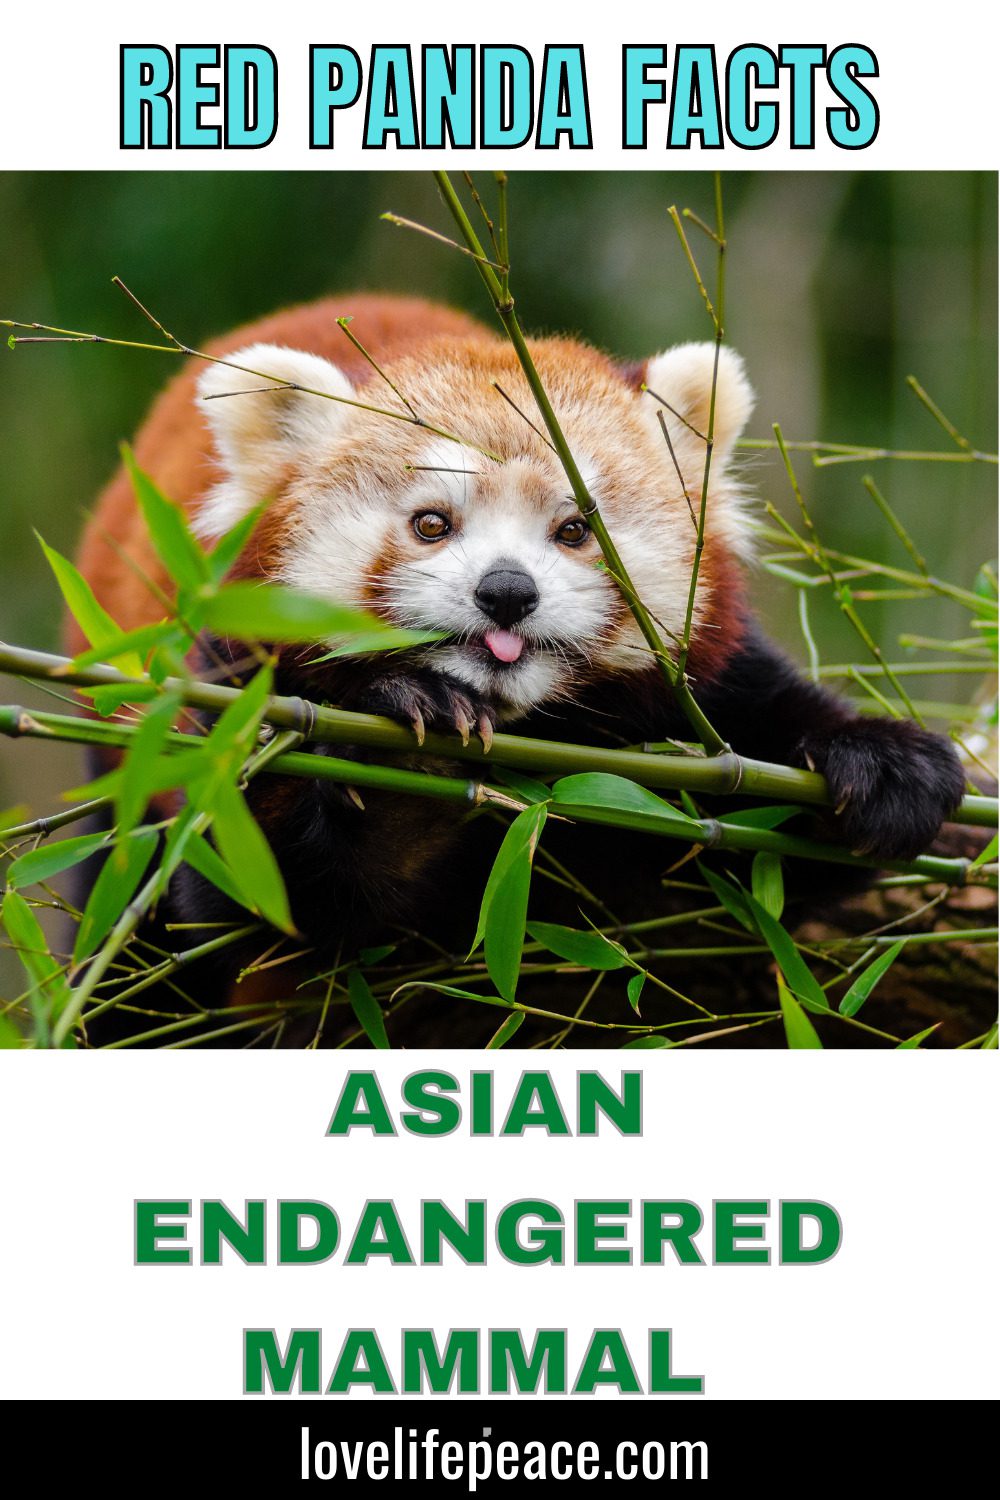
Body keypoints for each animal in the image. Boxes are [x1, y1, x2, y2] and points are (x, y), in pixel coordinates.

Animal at [72, 293, 965, 997]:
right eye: (432, 523)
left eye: (574, 530)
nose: (507, 591)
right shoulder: (238, 700)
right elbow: (249, 898)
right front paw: (408, 756)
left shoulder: (709, 701)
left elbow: (769, 834)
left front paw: (887, 763)